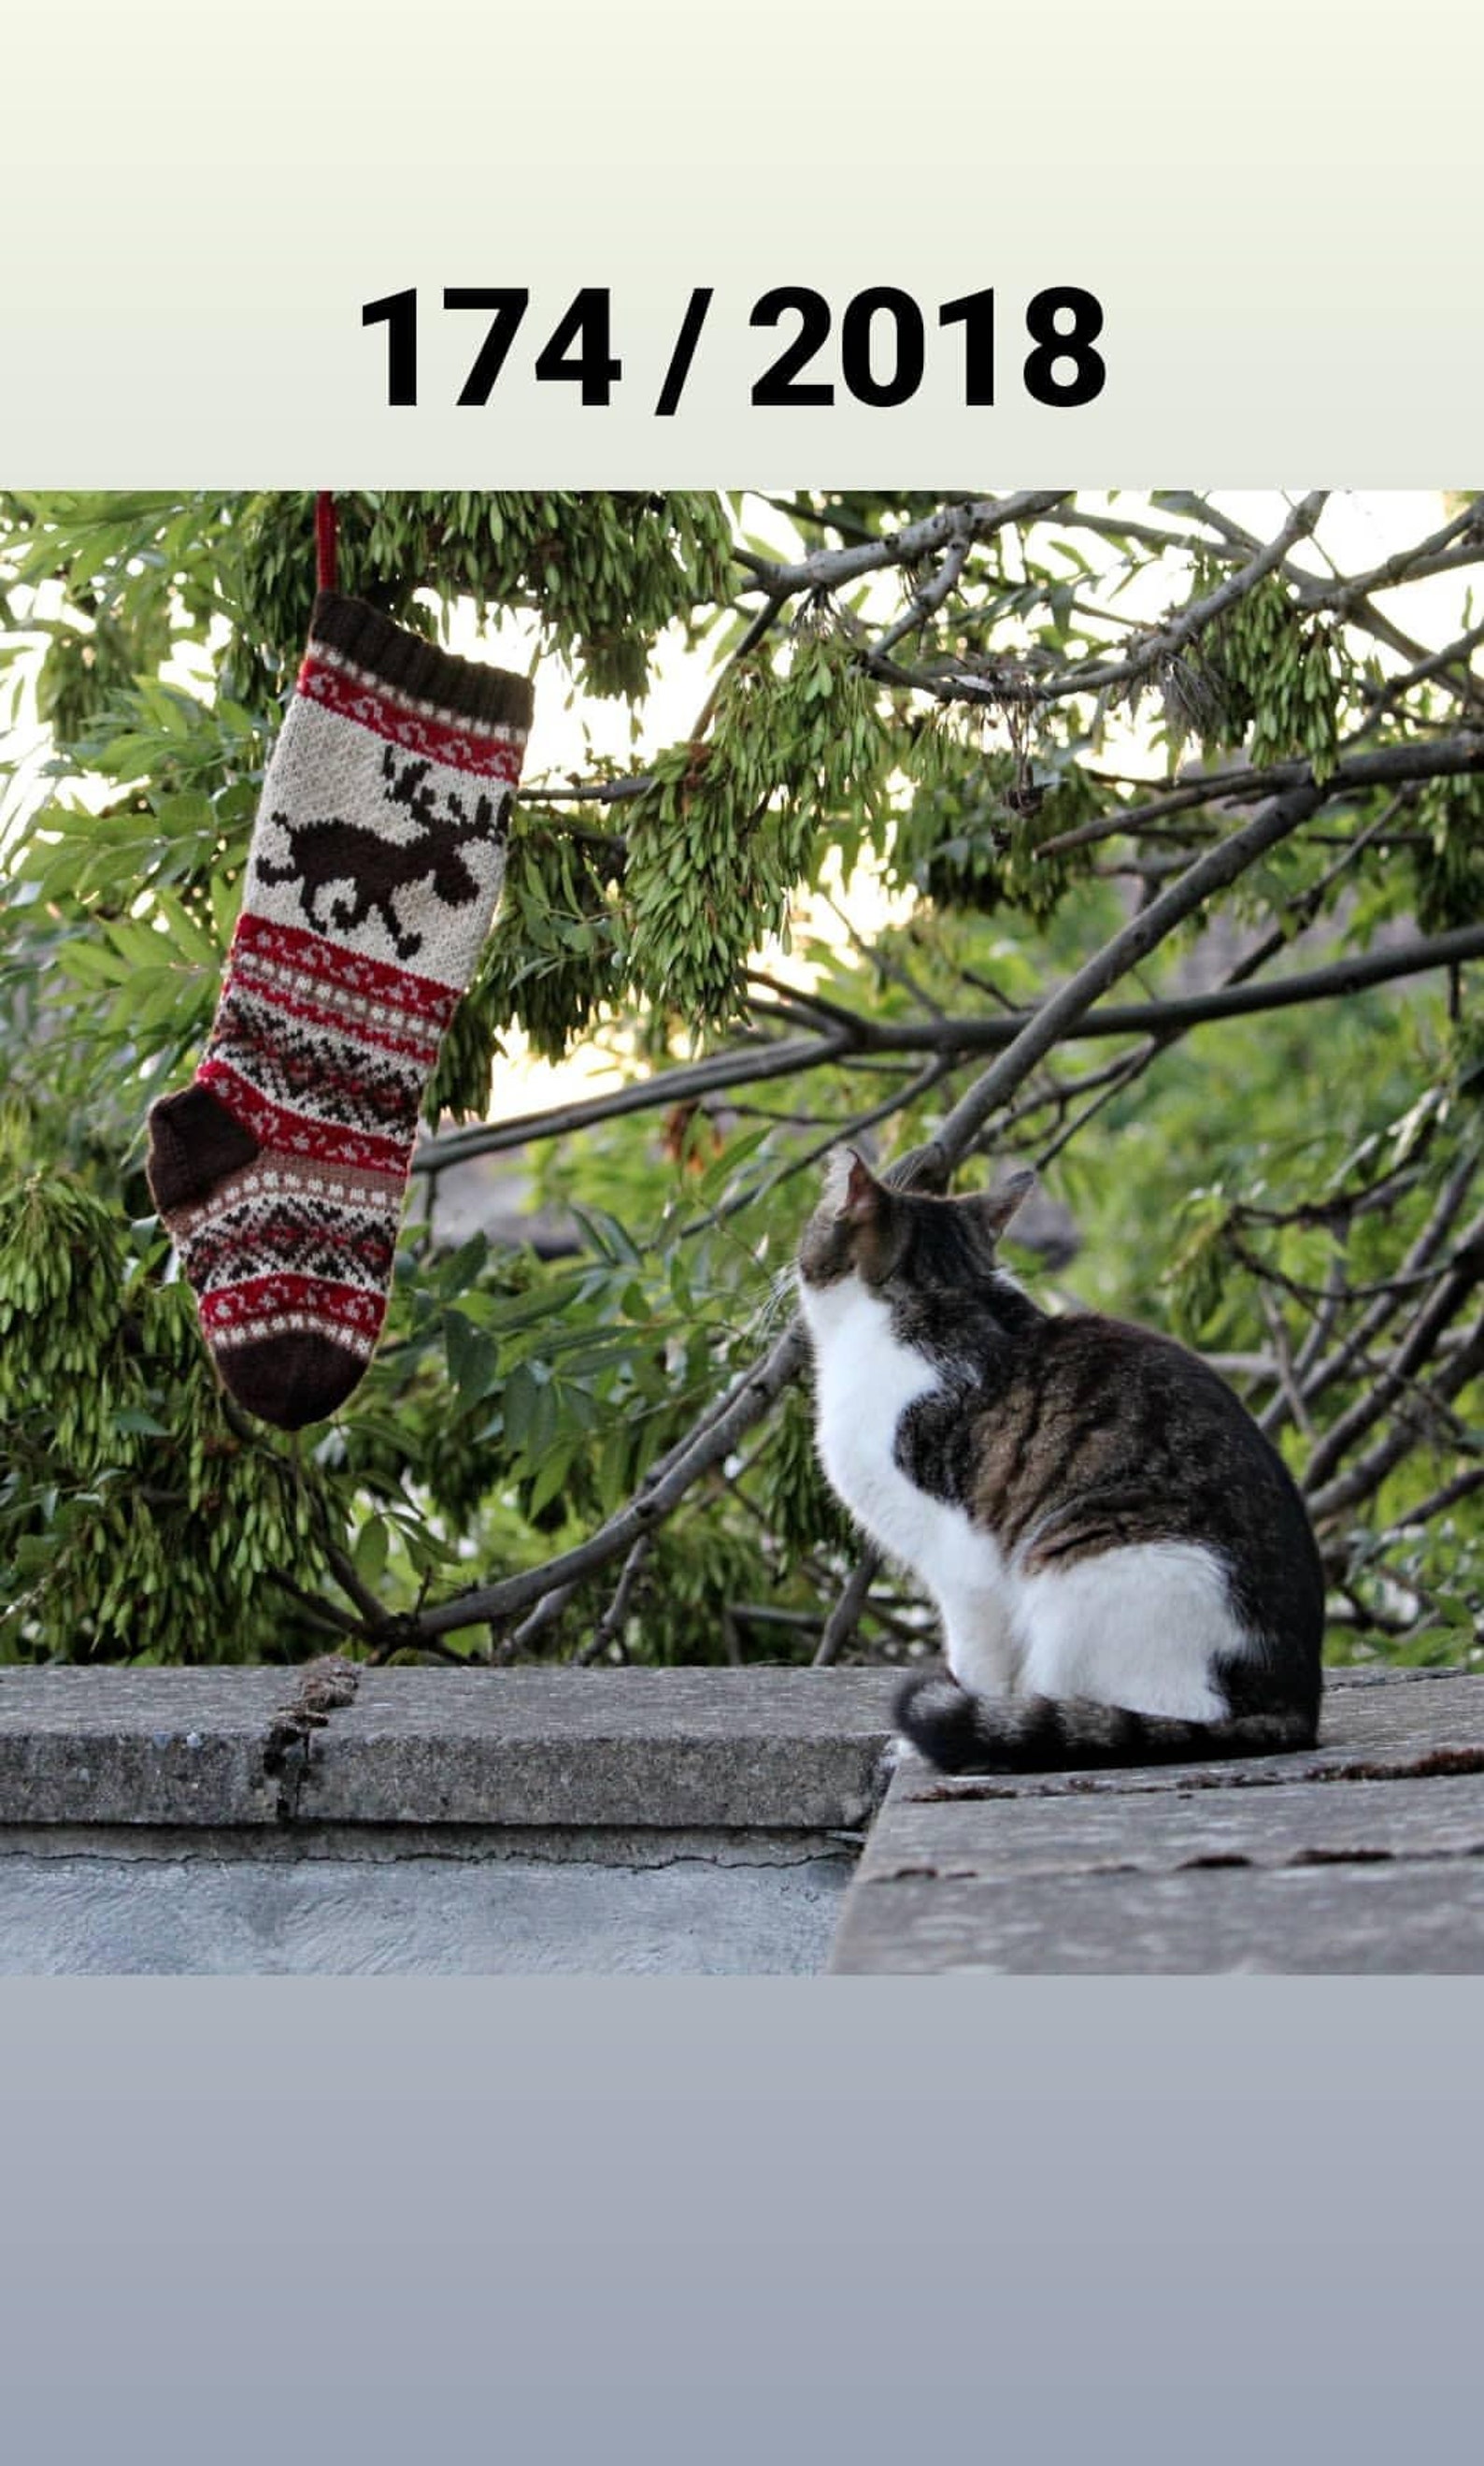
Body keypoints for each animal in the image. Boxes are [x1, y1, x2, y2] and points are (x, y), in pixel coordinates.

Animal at [255, 746, 511, 961]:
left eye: (457, 851)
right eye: (449, 854)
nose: (471, 888)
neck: (401, 859)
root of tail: (296, 829)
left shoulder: (381, 894)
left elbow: (388, 920)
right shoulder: (371, 889)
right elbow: (372, 917)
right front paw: (342, 917)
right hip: (317, 871)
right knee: (303, 894)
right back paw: (318, 921)